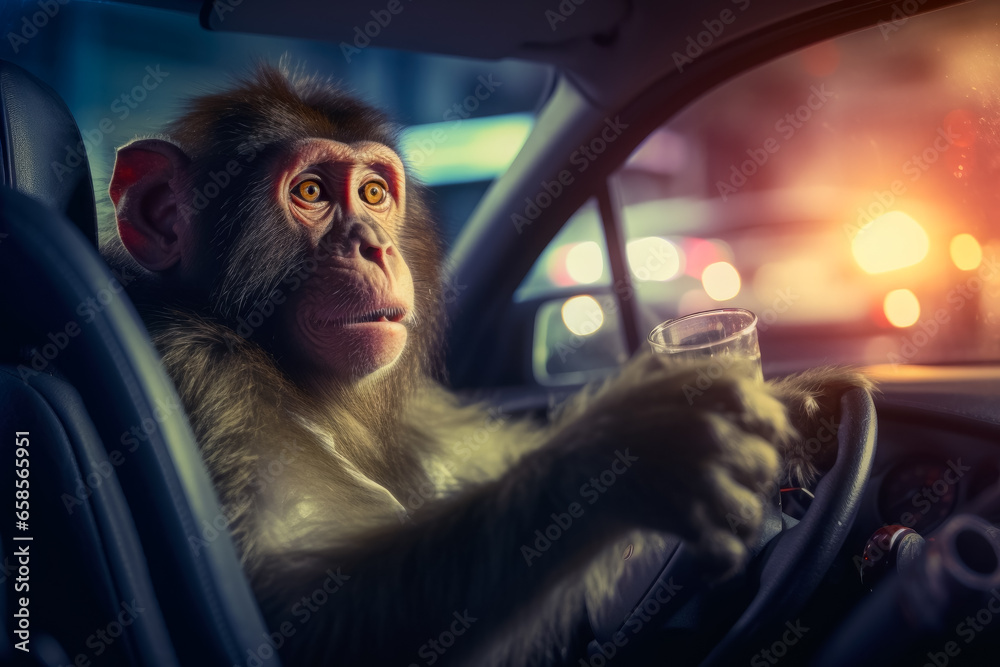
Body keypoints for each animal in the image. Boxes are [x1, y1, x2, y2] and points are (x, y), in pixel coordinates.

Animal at [101, 63, 873, 665]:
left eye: (374, 193)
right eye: (312, 192)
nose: (374, 244)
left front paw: (801, 401)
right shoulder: (200, 374)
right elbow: (293, 616)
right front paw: (634, 448)